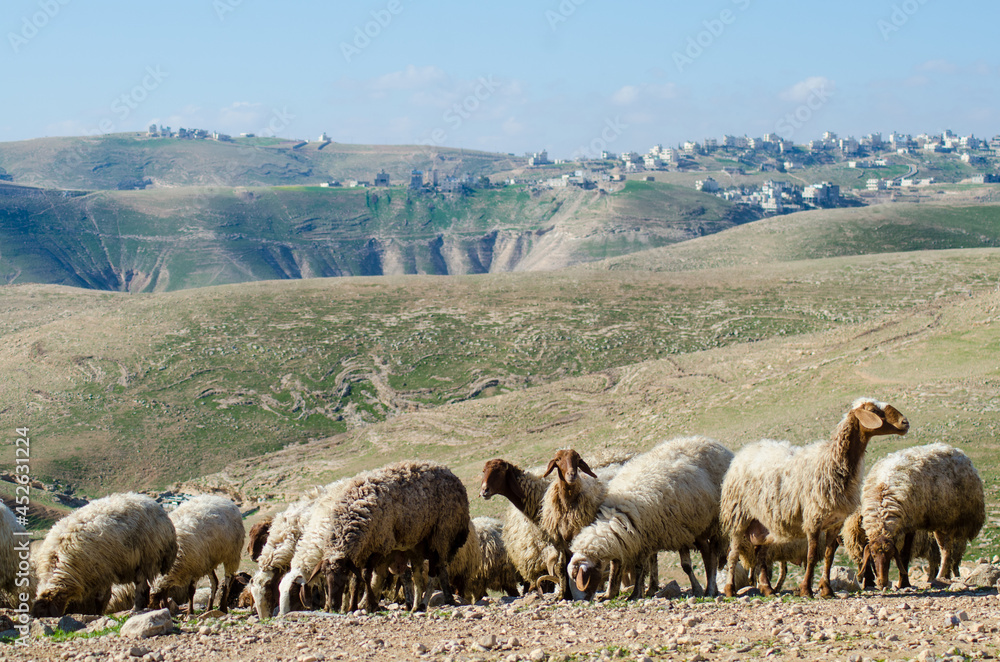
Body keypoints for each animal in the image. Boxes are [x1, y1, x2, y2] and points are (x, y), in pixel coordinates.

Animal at [31, 493, 177, 617]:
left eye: (45, 612)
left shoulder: (102, 572)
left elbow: (101, 599)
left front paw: (98, 614)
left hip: (146, 559)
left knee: (141, 588)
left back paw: (136, 609)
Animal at [308, 461, 470, 614]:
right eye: (324, 574)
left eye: (343, 573)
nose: (333, 606)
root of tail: (451, 473)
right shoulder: (360, 553)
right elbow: (356, 580)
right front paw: (353, 606)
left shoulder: (379, 545)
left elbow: (366, 576)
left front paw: (369, 605)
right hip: (418, 544)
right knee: (419, 576)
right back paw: (416, 606)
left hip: (441, 535)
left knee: (434, 572)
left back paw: (426, 603)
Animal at [568, 436, 734, 600]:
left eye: (578, 577)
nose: (581, 601)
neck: (620, 516)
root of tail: (712, 442)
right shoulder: (641, 539)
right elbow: (632, 567)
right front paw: (626, 593)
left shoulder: (677, 534)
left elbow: (684, 566)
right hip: (699, 526)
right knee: (708, 553)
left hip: (710, 524)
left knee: (710, 555)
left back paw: (710, 589)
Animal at [721, 398, 909, 599]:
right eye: (874, 410)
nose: (905, 423)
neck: (833, 461)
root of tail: (745, 451)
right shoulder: (813, 519)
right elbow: (811, 556)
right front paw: (806, 589)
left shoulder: (835, 523)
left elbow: (828, 557)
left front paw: (827, 590)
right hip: (738, 514)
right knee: (733, 553)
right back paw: (730, 589)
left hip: (762, 522)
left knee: (761, 554)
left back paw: (767, 588)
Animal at [857, 443, 983, 589]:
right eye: (872, 554)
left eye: (891, 555)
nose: (882, 583)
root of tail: (954, 449)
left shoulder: (910, 525)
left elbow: (904, 555)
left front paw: (903, 583)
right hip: (941, 522)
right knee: (945, 549)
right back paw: (944, 576)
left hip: (953, 519)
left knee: (946, 551)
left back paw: (940, 577)